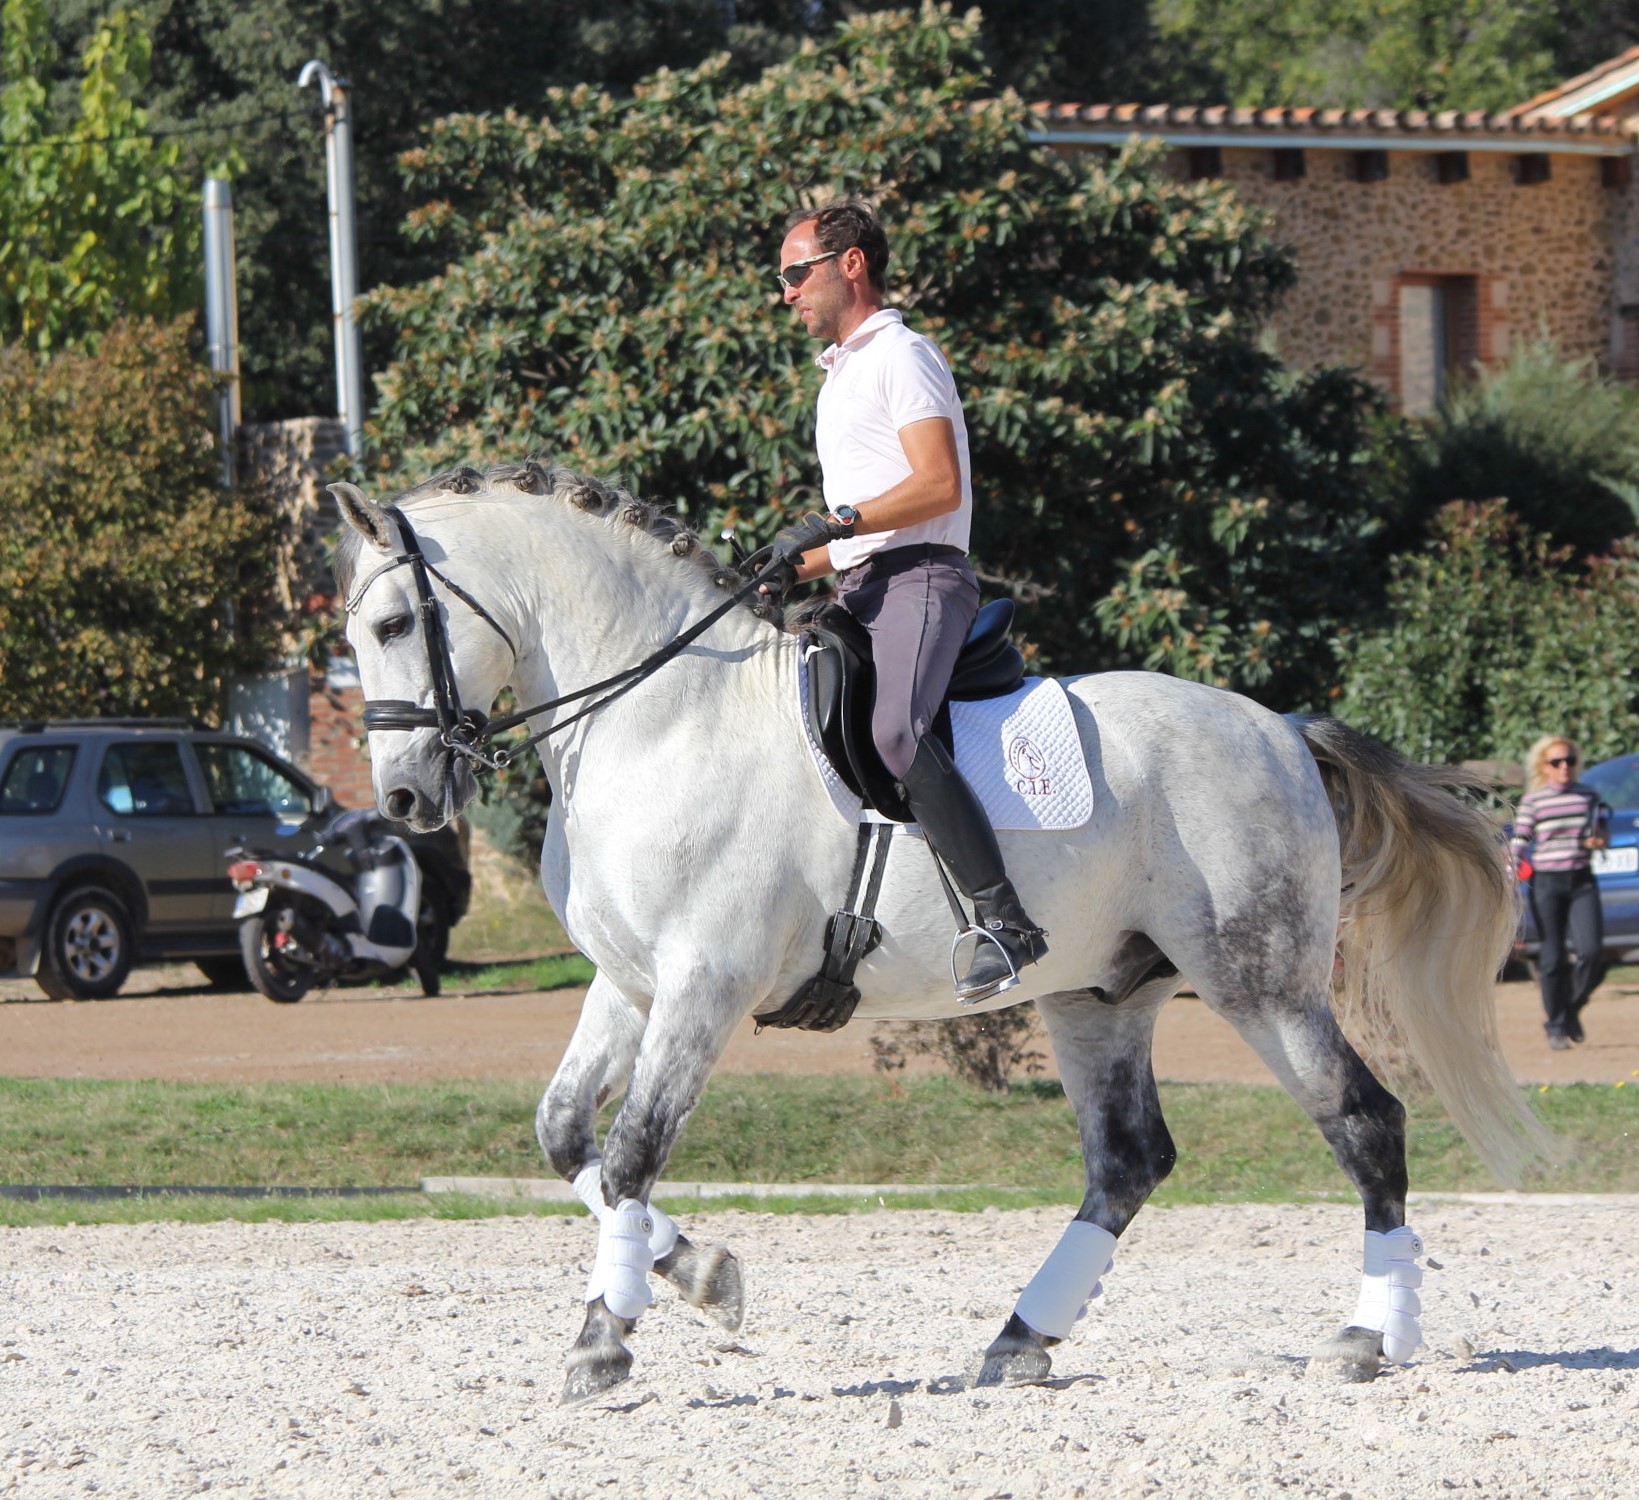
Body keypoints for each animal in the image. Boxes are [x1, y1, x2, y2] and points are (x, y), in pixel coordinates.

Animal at [330, 461, 1549, 1406]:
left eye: (392, 626)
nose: (402, 799)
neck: (659, 719)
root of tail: (1282, 728)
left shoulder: (702, 984)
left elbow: (631, 1151)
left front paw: (602, 1342)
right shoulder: (628, 983)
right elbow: (563, 1137)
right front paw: (706, 1276)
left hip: (1259, 981)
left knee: (1363, 1121)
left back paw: (1367, 1338)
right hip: (1099, 995)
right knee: (1127, 1161)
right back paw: (1018, 1342)